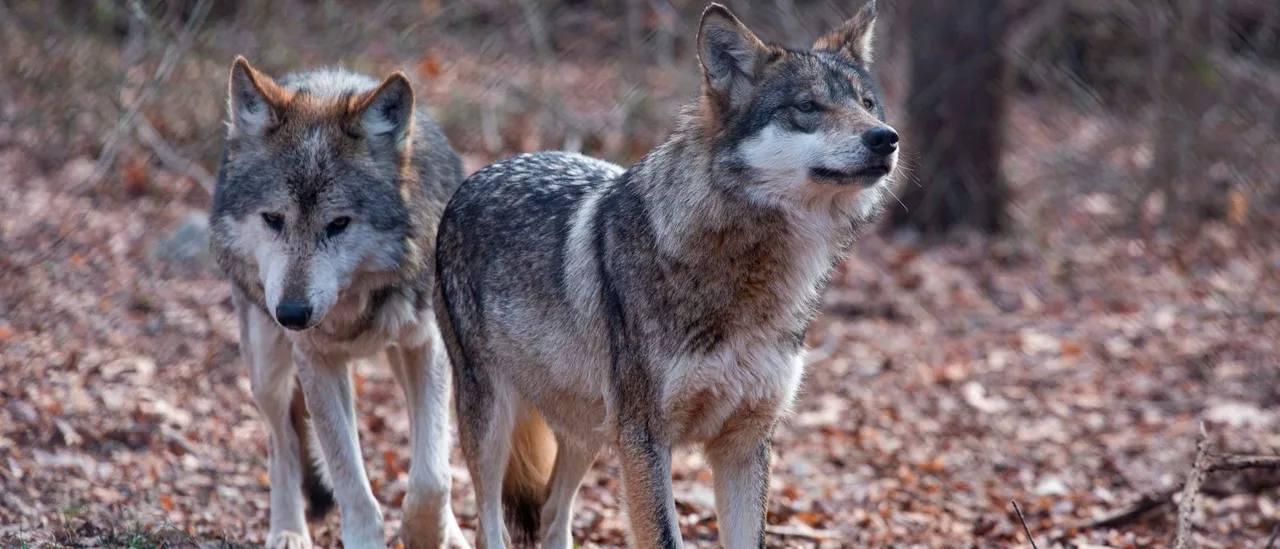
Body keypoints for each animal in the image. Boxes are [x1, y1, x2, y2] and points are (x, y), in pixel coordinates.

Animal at [209, 57, 468, 549]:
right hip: (267, 367)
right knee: (282, 445)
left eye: (339, 224)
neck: (352, 308)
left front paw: (427, 533)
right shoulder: (316, 360)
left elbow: (432, 478)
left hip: (403, 359)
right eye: (273, 219)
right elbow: (352, 485)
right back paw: (288, 530)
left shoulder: (428, 346)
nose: (292, 314)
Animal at [434, 2, 897, 548]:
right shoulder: (645, 439)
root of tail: (480, 173)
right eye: (807, 106)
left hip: (589, 431)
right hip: (493, 423)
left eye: (868, 104)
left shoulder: (744, 444)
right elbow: (662, 535)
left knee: (551, 512)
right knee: (488, 522)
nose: (886, 138)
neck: (748, 276)